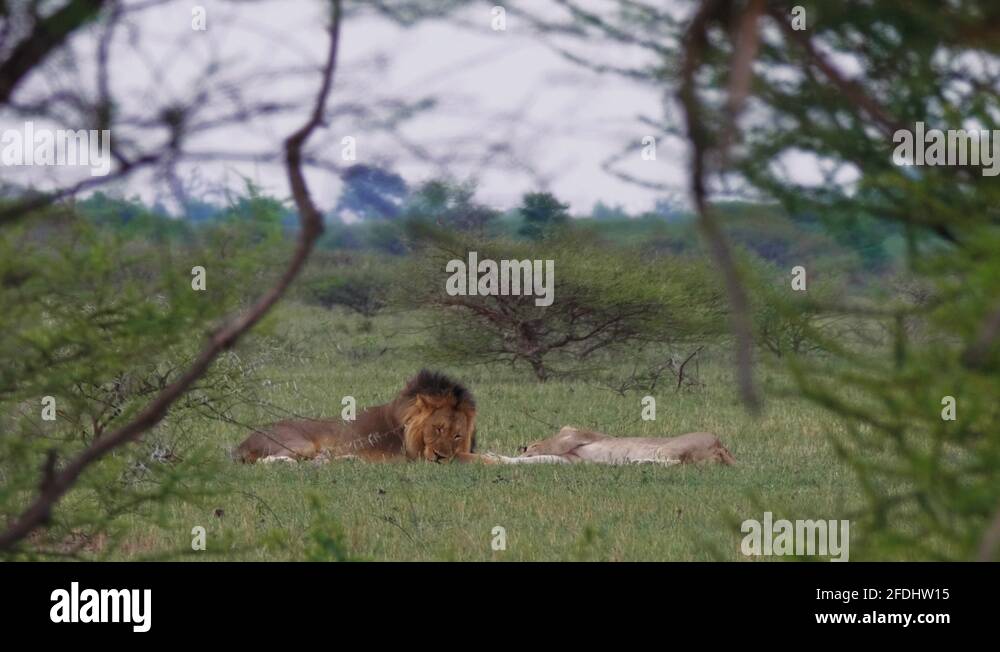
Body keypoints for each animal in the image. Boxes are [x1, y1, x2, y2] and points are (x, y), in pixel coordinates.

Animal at [233, 370, 479, 464]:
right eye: (437, 428)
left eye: (457, 436)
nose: (440, 457)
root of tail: (242, 443)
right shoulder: (416, 457)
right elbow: (472, 458)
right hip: (301, 444)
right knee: (268, 461)